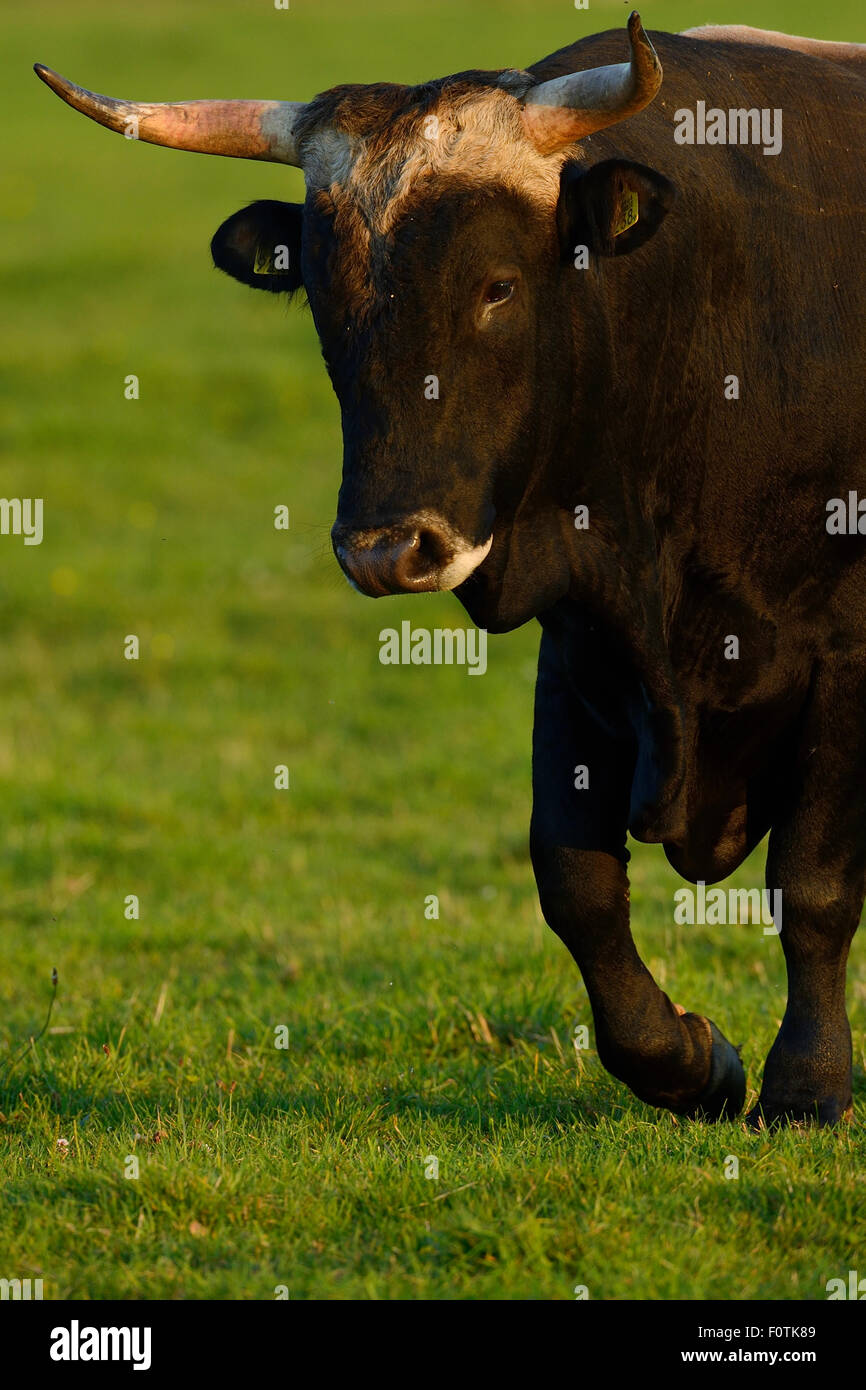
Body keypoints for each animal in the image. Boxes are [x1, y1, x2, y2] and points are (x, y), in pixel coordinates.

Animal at [35, 13, 866, 1126]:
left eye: (496, 288)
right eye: (325, 300)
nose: (386, 549)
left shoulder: (842, 655)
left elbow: (812, 885)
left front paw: (807, 1085)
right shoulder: (580, 648)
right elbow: (573, 880)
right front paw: (686, 1062)